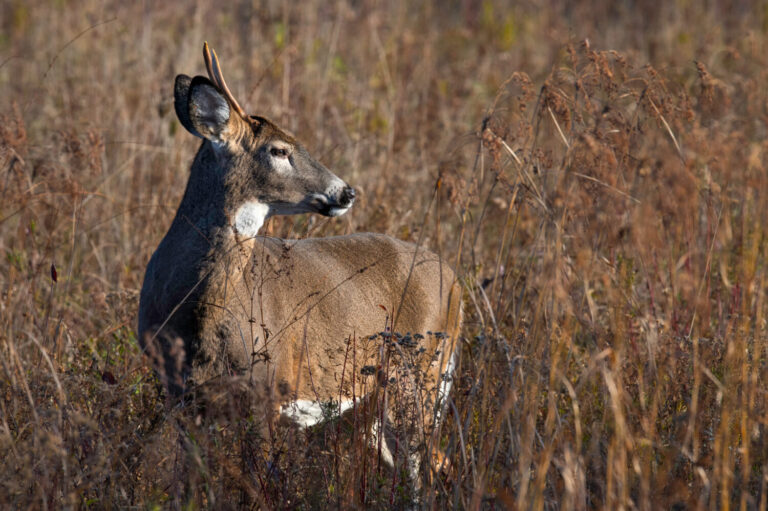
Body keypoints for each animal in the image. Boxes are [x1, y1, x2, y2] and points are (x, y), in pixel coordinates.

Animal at [138, 43, 462, 487]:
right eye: (279, 149)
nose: (346, 192)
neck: (196, 315)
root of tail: (457, 278)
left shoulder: (268, 386)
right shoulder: (179, 395)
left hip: (423, 372)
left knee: (428, 463)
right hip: (374, 400)